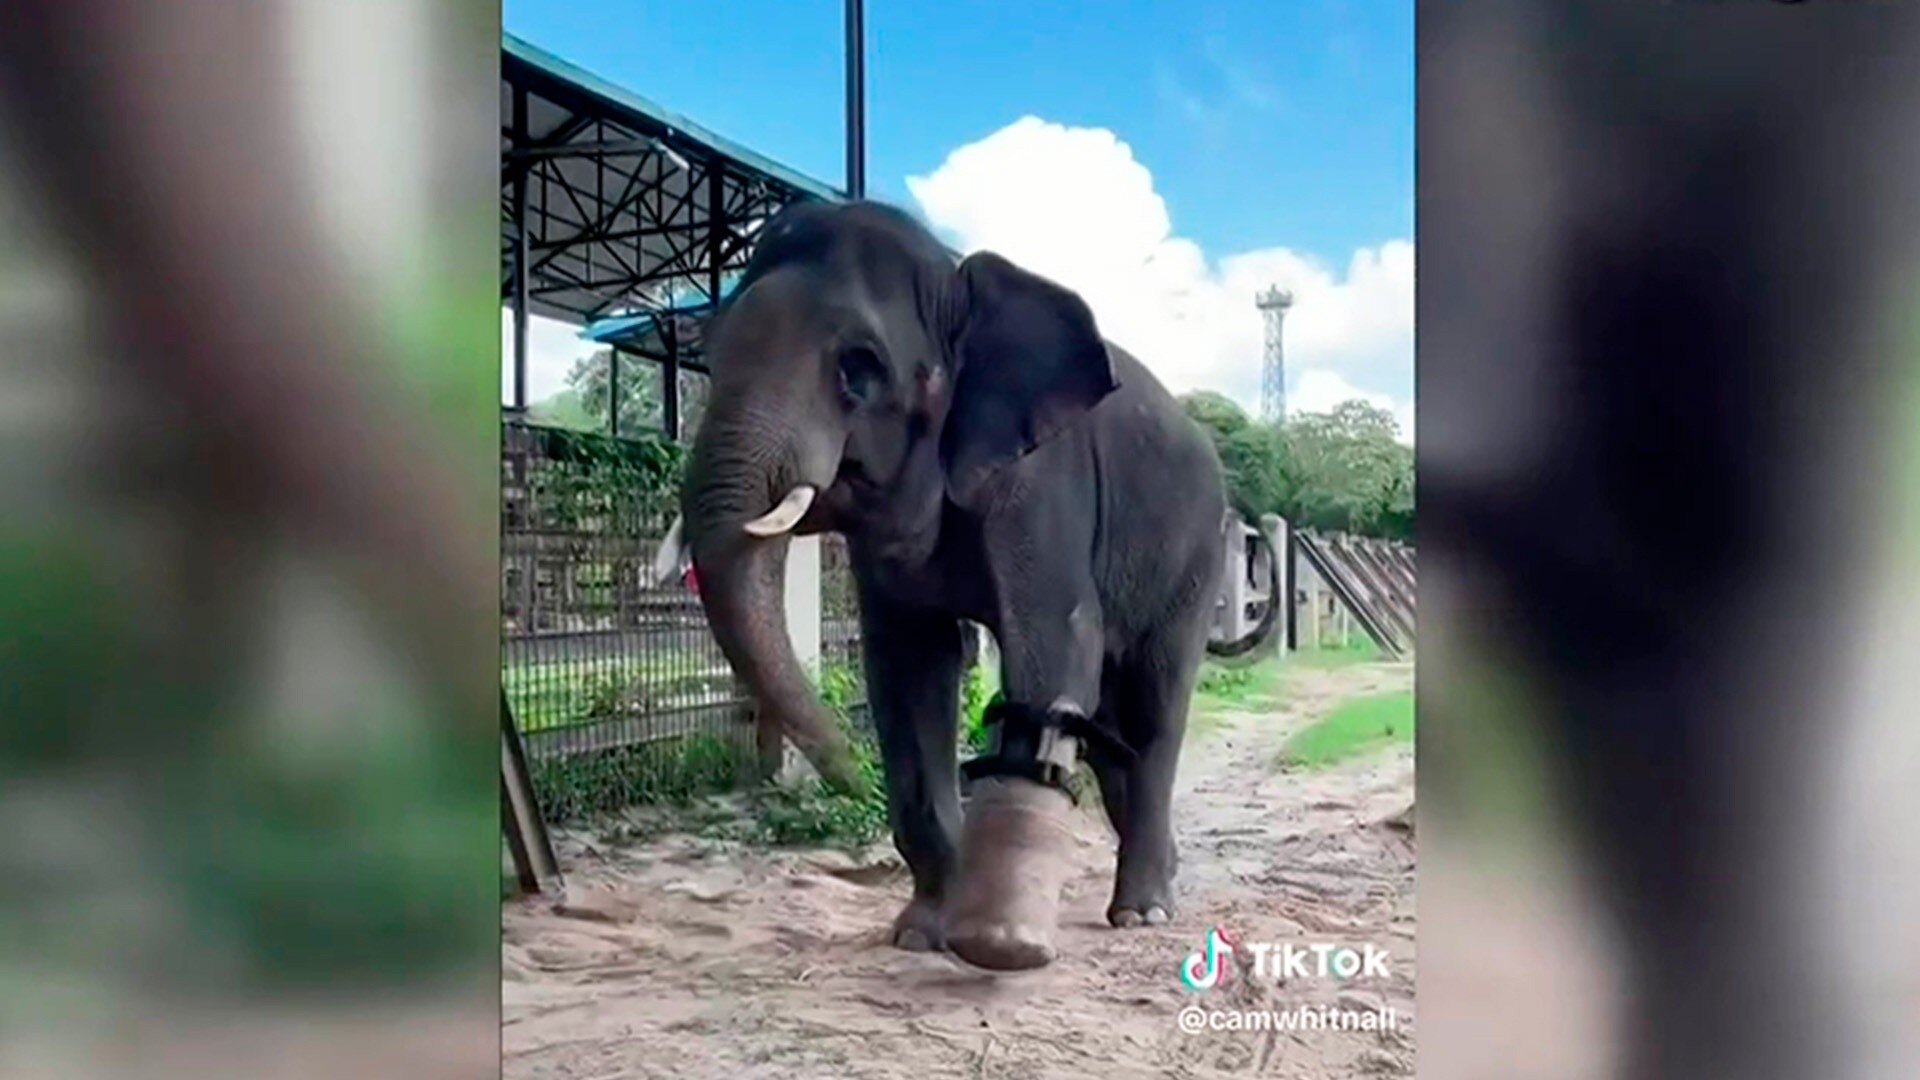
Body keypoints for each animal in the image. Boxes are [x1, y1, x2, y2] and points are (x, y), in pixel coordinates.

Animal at [669, 199, 1265, 971]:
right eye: (708, 357)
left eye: (860, 368)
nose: (847, 770)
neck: (954, 277)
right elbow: (909, 666)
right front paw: (924, 934)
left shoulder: (1043, 481)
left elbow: (1056, 641)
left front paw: (995, 942)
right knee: (1114, 733)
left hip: (1194, 555)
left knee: (1153, 705)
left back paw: (1143, 912)